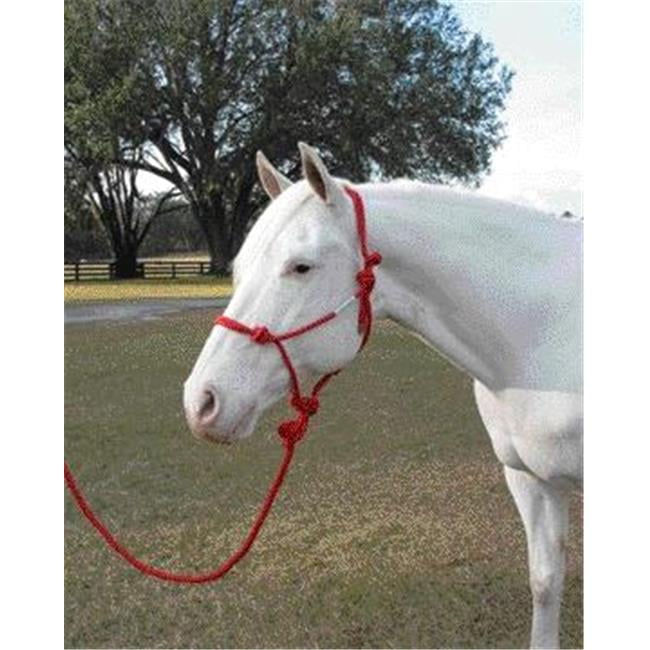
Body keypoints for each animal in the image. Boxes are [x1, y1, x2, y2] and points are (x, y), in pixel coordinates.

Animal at [183, 143, 583, 649]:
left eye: (301, 266)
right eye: (238, 269)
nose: (201, 402)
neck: (542, 336)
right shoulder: (530, 480)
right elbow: (545, 581)